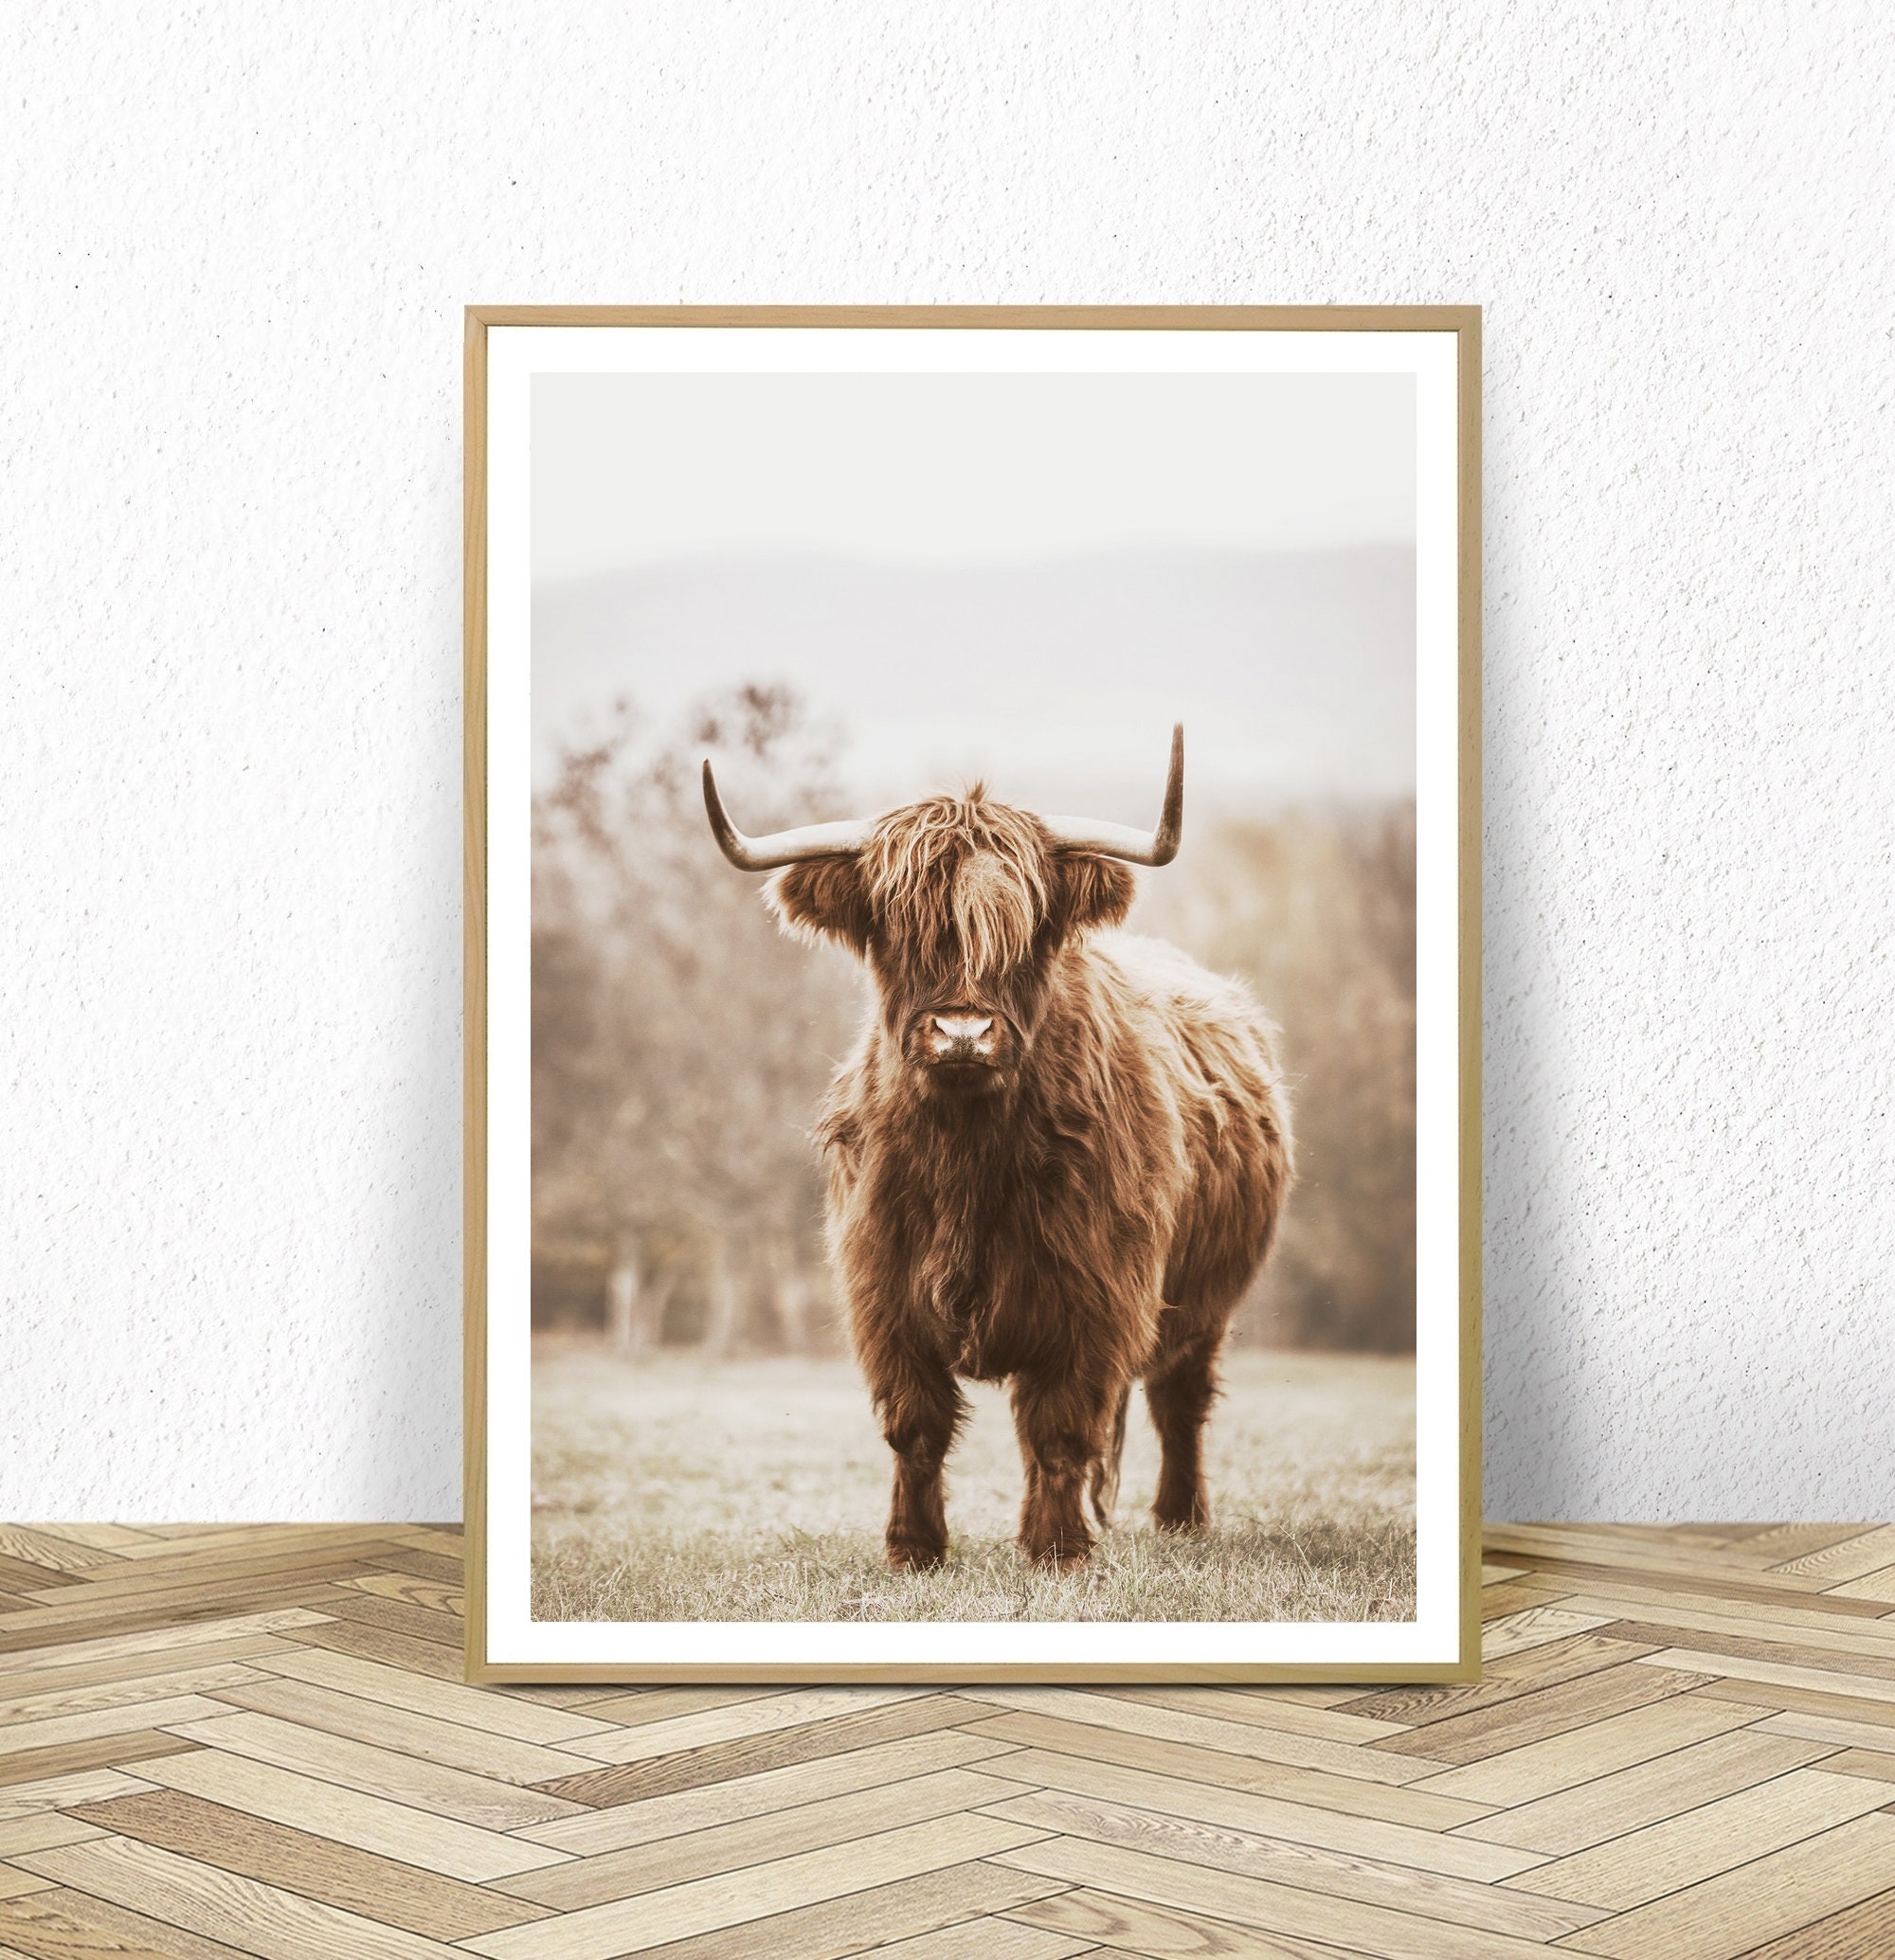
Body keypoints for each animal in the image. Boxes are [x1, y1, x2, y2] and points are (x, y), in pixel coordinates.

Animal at [703, 727, 1292, 1568]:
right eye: (898, 925)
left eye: (1025, 928)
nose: (962, 1032)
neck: (967, 1154)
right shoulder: (883, 1291)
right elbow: (915, 1425)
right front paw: (913, 1548)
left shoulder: (1095, 1294)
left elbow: (1062, 1424)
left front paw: (1058, 1548)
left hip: (1205, 1299)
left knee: (1178, 1398)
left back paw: (1180, 1516)